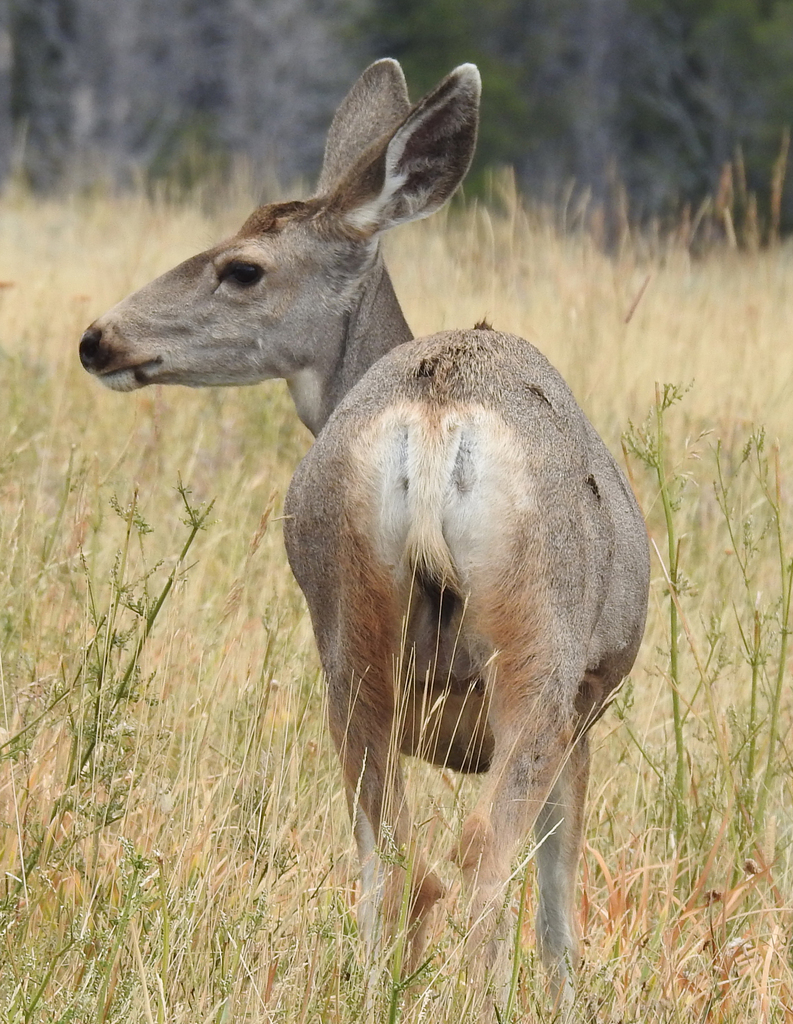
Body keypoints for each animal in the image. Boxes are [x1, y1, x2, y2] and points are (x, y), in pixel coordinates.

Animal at [78, 59, 650, 1013]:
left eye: (243, 269)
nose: (98, 339)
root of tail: (434, 411)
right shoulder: (590, 701)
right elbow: (558, 916)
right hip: (540, 647)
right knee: (479, 869)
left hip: (347, 632)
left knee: (395, 868)